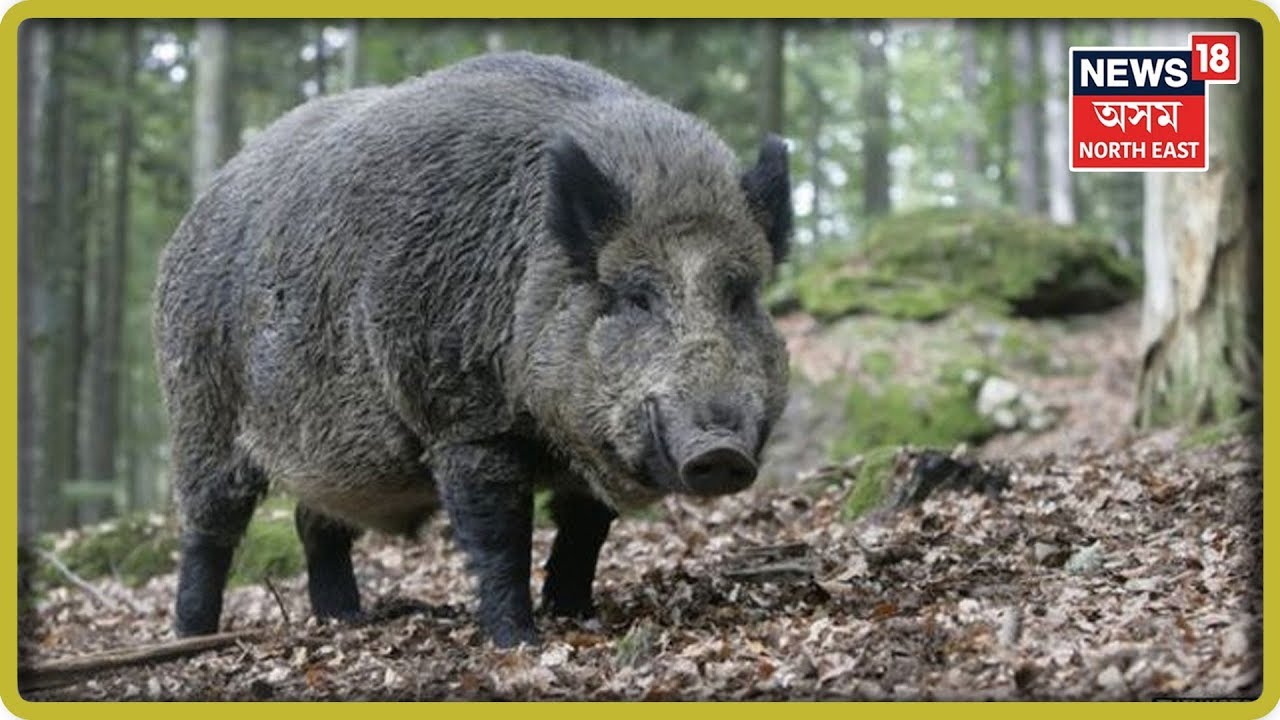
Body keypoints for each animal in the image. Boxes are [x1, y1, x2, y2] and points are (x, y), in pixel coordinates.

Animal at [154, 51, 791, 647]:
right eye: (636, 296)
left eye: (740, 295)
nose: (720, 448)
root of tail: (194, 214)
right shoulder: (463, 417)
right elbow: (500, 533)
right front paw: (520, 639)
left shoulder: (593, 437)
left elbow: (584, 532)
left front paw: (574, 616)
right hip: (199, 408)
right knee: (209, 527)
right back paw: (193, 637)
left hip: (334, 456)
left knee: (316, 521)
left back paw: (346, 620)